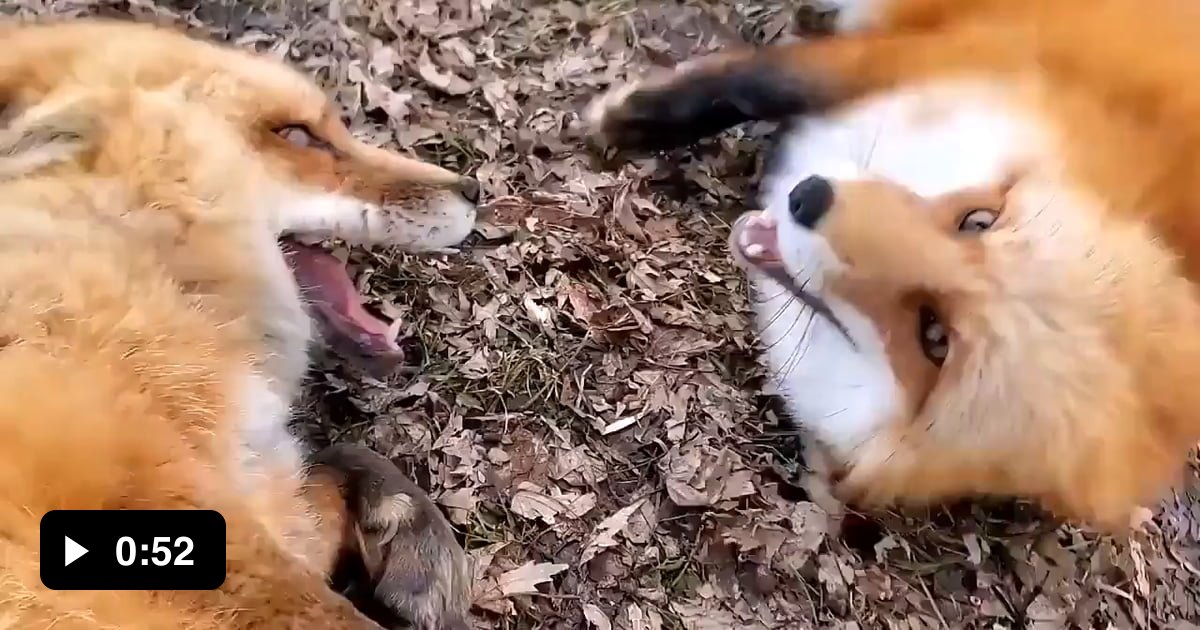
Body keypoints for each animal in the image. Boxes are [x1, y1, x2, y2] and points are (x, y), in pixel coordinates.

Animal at [585, 0, 1200, 533]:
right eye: (979, 220)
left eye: (935, 337)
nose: (809, 197)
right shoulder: (946, 53)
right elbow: (763, 84)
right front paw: (631, 117)